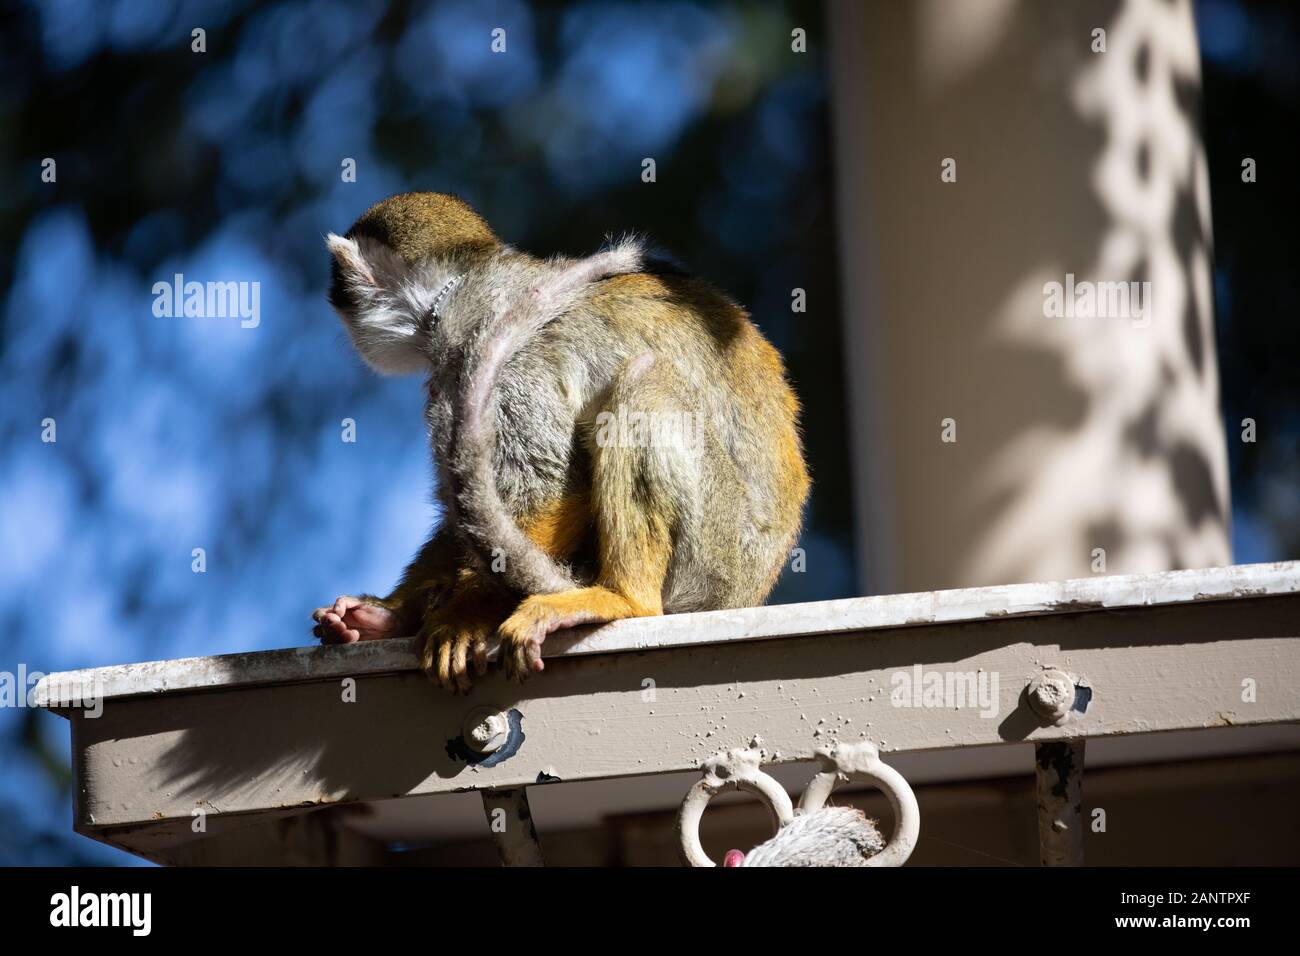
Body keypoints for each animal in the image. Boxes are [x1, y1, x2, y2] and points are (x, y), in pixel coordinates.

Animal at [312, 192, 810, 691]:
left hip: (717, 552)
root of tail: (749, 590)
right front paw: (390, 614)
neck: (465, 297)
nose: (341, 323)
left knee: (645, 382)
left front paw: (465, 614)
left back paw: (626, 598)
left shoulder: (507, 357)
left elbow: (550, 486)